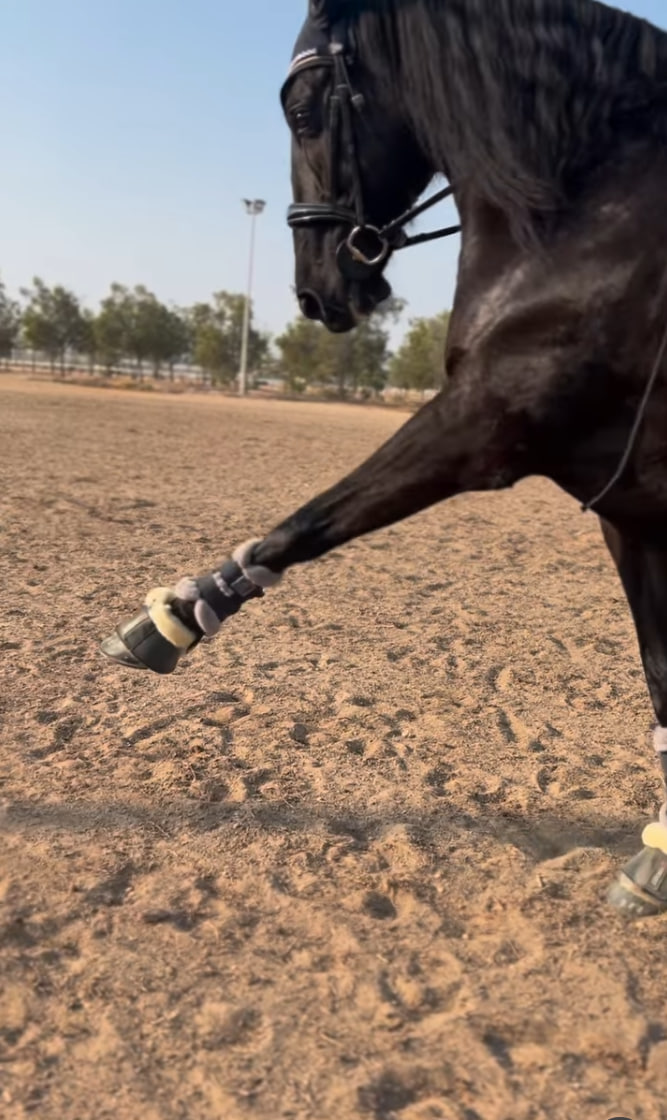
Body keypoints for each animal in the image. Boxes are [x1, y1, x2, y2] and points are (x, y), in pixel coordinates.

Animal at [102, 0, 667, 919]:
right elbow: (659, 677)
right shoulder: (628, 510)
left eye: (300, 109)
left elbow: (307, 524)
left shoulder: (483, 424)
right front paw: (655, 857)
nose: (316, 293)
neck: (598, 214)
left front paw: (170, 621)